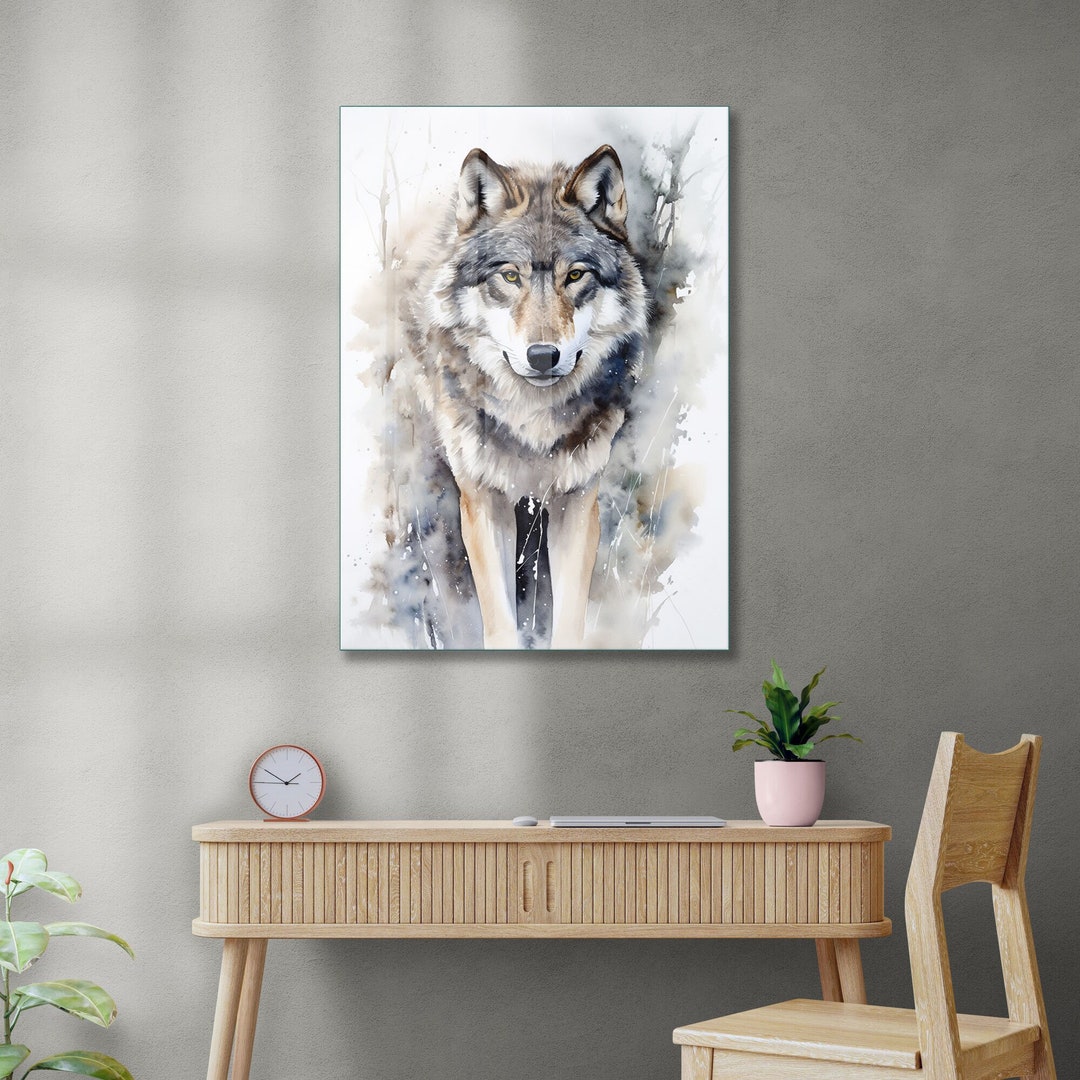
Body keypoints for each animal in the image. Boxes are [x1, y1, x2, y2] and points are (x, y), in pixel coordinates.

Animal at [404, 145, 648, 648]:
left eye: (575, 275)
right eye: (511, 276)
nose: (542, 356)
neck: (533, 422)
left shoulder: (578, 502)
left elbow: (570, 621)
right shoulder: (481, 502)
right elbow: (499, 622)